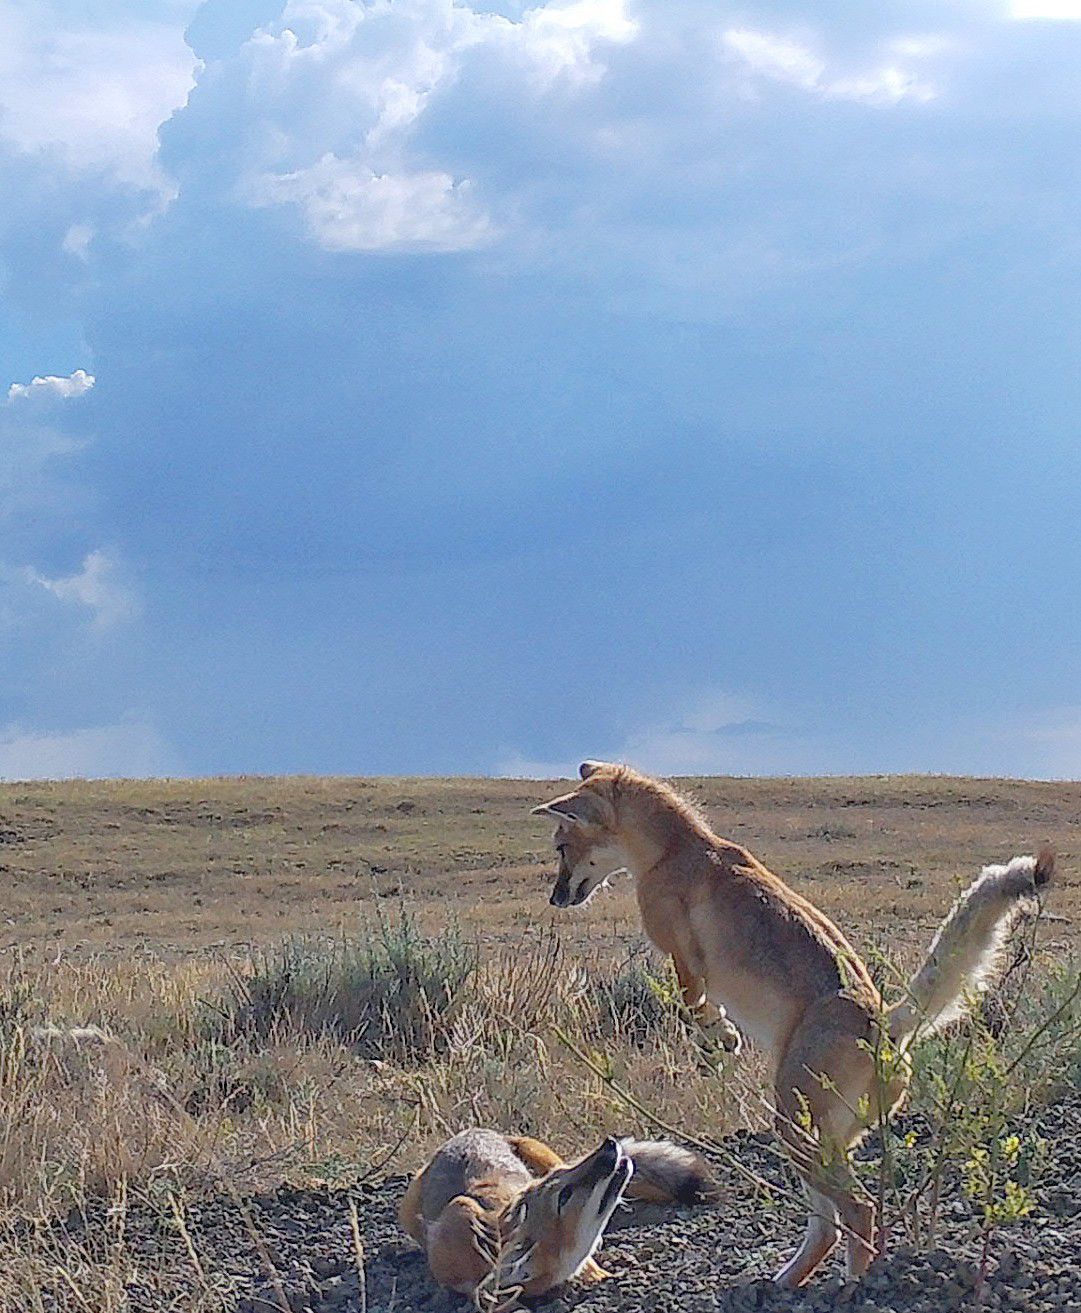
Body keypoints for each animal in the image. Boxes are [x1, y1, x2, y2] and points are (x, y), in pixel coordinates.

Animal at [398, 1127, 715, 1300]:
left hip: (543, 1154)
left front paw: (597, 1273)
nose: (609, 1144)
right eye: (564, 1196)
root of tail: (471, 1131)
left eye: (563, 1185)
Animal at [534, 761, 1054, 1289]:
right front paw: (722, 1035)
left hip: (795, 1129)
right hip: (813, 1142)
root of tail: (885, 1024)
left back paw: (849, 1287)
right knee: (830, 1227)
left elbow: (693, 1004)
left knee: (859, 1211)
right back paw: (785, 1284)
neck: (680, 847)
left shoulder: (686, 961)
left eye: (561, 846)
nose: (555, 898)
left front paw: (721, 1036)